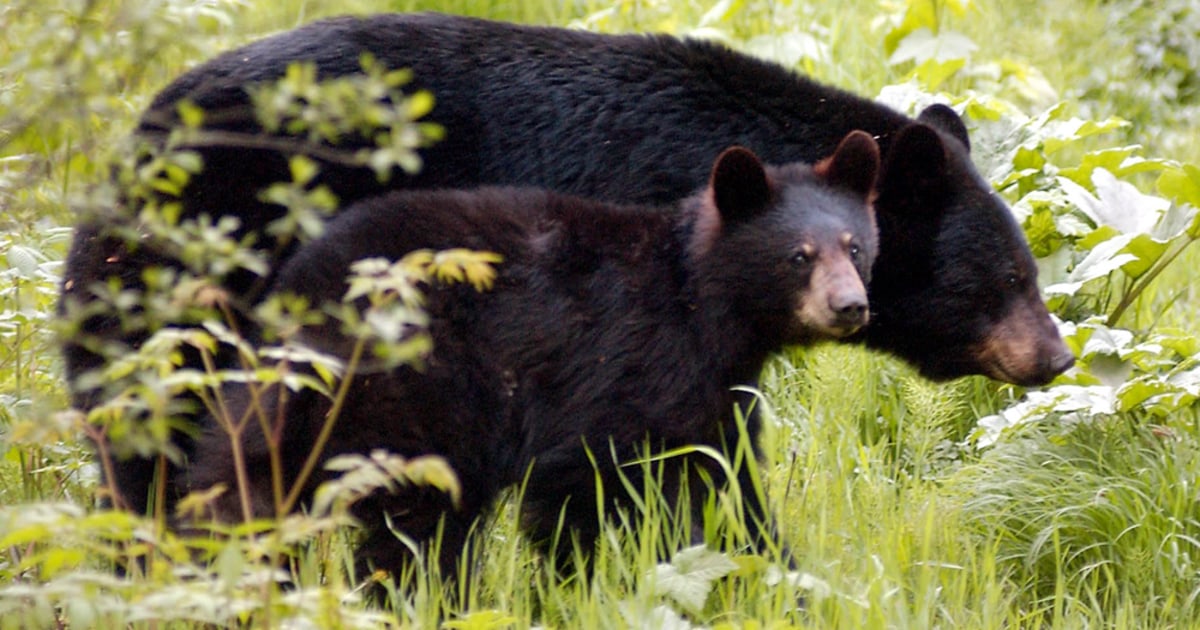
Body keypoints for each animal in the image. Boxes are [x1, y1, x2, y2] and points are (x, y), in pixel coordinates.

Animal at [183, 134, 882, 581]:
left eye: (855, 247)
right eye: (799, 255)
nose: (851, 306)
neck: (708, 309)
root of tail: (307, 290)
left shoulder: (714, 391)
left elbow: (732, 491)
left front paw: (787, 585)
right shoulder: (623, 363)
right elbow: (579, 490)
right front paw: (575, 590)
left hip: (292, 402)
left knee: (246, 483)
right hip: (422, 391)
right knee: (417, 526)